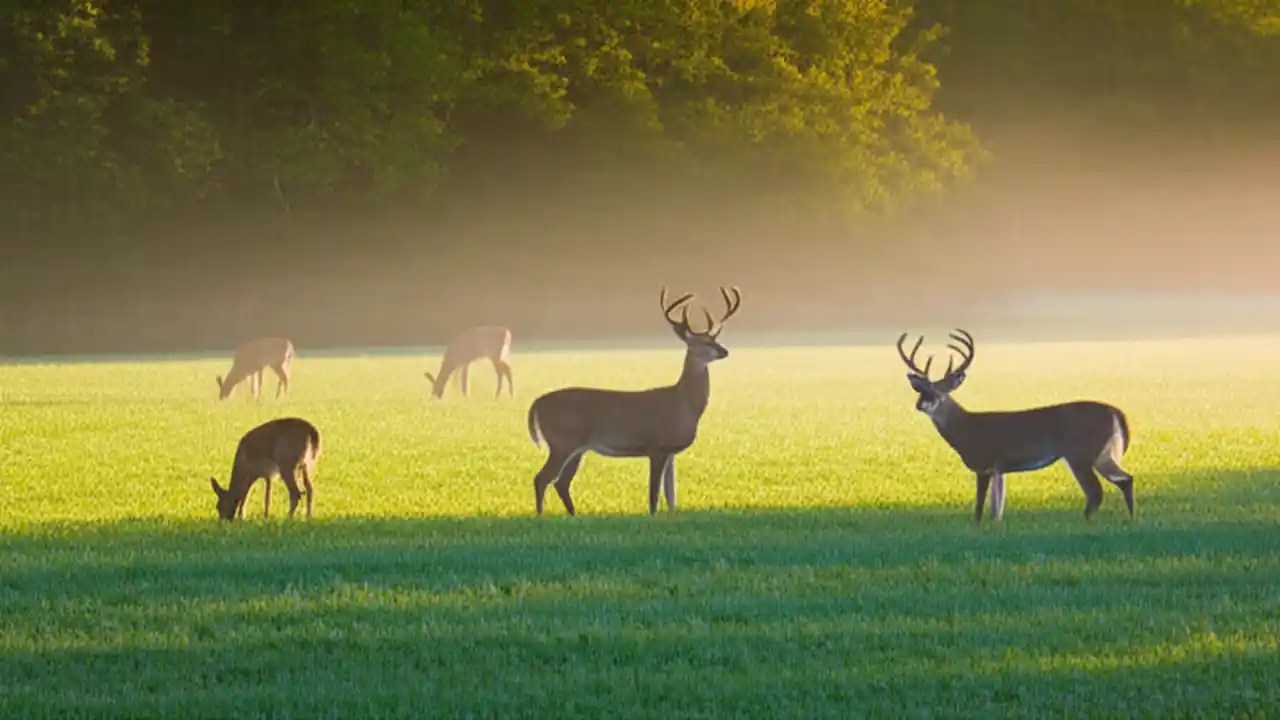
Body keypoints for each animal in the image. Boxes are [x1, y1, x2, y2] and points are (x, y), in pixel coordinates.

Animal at [527, 286, 742, 516]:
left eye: (714, 339)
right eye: (699, 343)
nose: (724, 350)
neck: (683, 404)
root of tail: (536, 403)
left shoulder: (671, 451)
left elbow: (671, 495)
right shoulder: (656, 446)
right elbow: (654, 494)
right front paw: (653, 517)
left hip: (577, 448)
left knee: (561, 483)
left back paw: (573, 515)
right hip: (561, 442)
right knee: (541, 478)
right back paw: (540, 515)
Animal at [897, 329, 1135, 522]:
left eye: (939, 392)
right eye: (921, 390)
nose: (921, 404)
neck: (966, 429)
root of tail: (1116, 412)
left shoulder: (984, 462)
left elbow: (980, 506)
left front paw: (976, 526)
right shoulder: (999, 469)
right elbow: (997, 508)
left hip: (1081, 452)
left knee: (1096, 491)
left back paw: (1084, 521)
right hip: (1101, 452)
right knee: (1125, 479)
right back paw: (1130, 518)